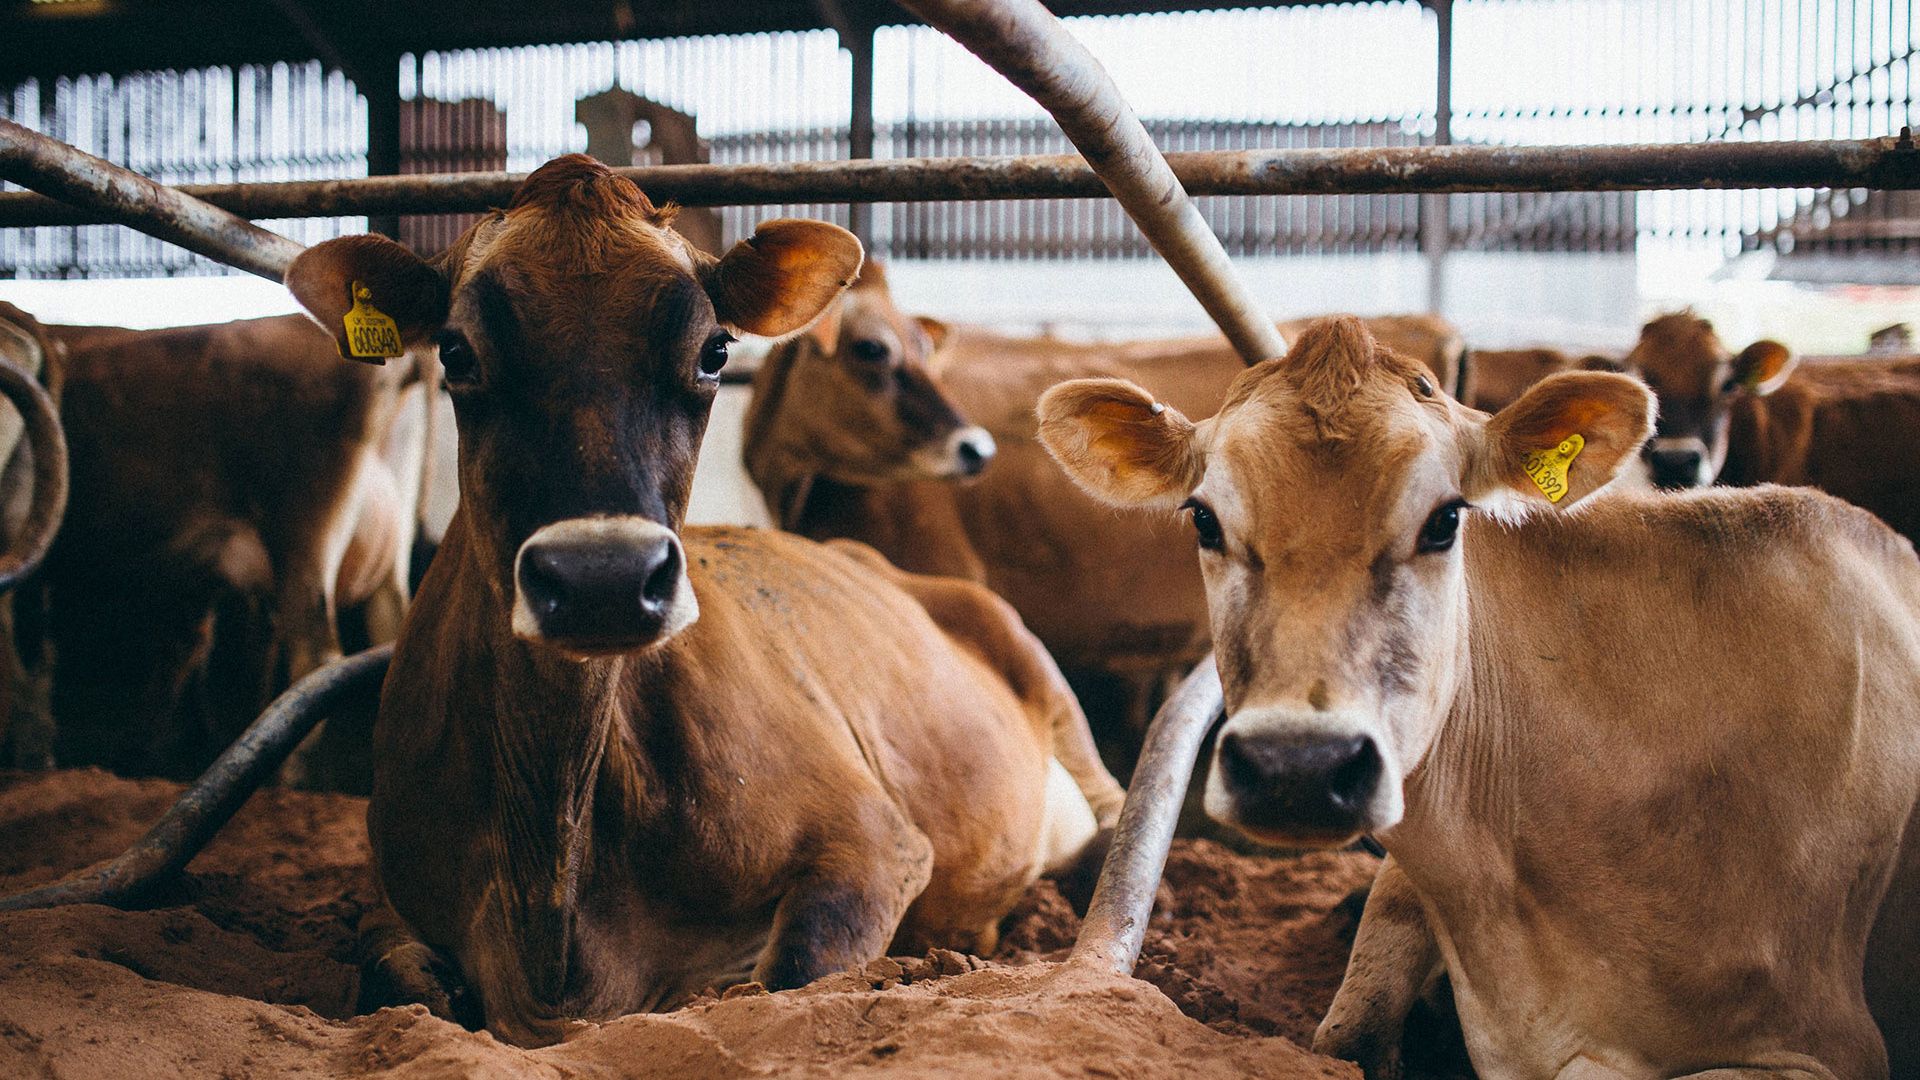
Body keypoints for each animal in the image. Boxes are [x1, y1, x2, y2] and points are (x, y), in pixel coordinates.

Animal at [281, 155, 1124, 1047]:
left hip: (1033, 666)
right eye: (455, 350)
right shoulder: (388, 887)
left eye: (715, 350)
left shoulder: (876, 842)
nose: (603, 577)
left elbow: (790, 975)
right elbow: (394, 972)